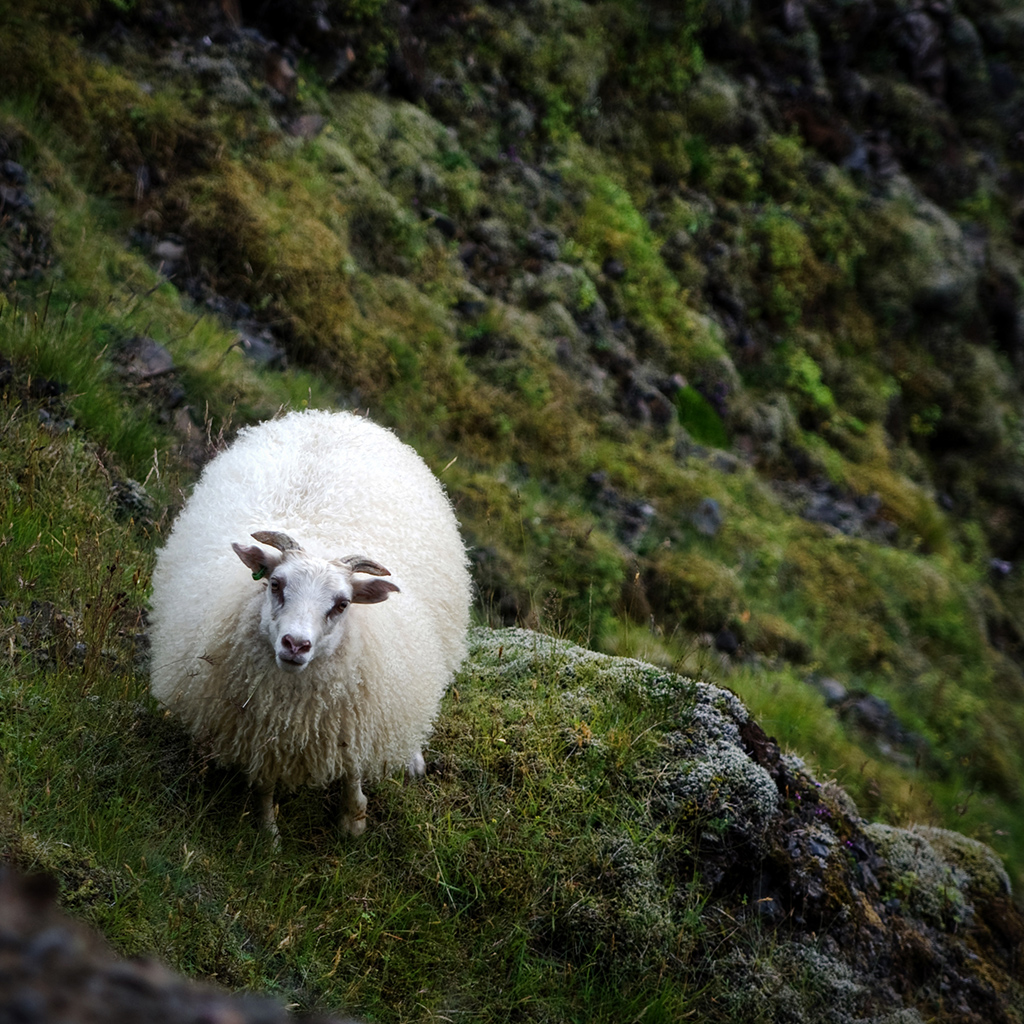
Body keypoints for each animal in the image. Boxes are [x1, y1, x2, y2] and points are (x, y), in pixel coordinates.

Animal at [148, 409, 472, 841]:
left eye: (342, 604)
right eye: (275, 584)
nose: (295, 644)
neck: (294, 705)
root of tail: (334, 416)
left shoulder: (359, 712)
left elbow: (353, 767)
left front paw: (353, 820)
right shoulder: (259, 730)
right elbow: (264, 779)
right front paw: (267, 833)